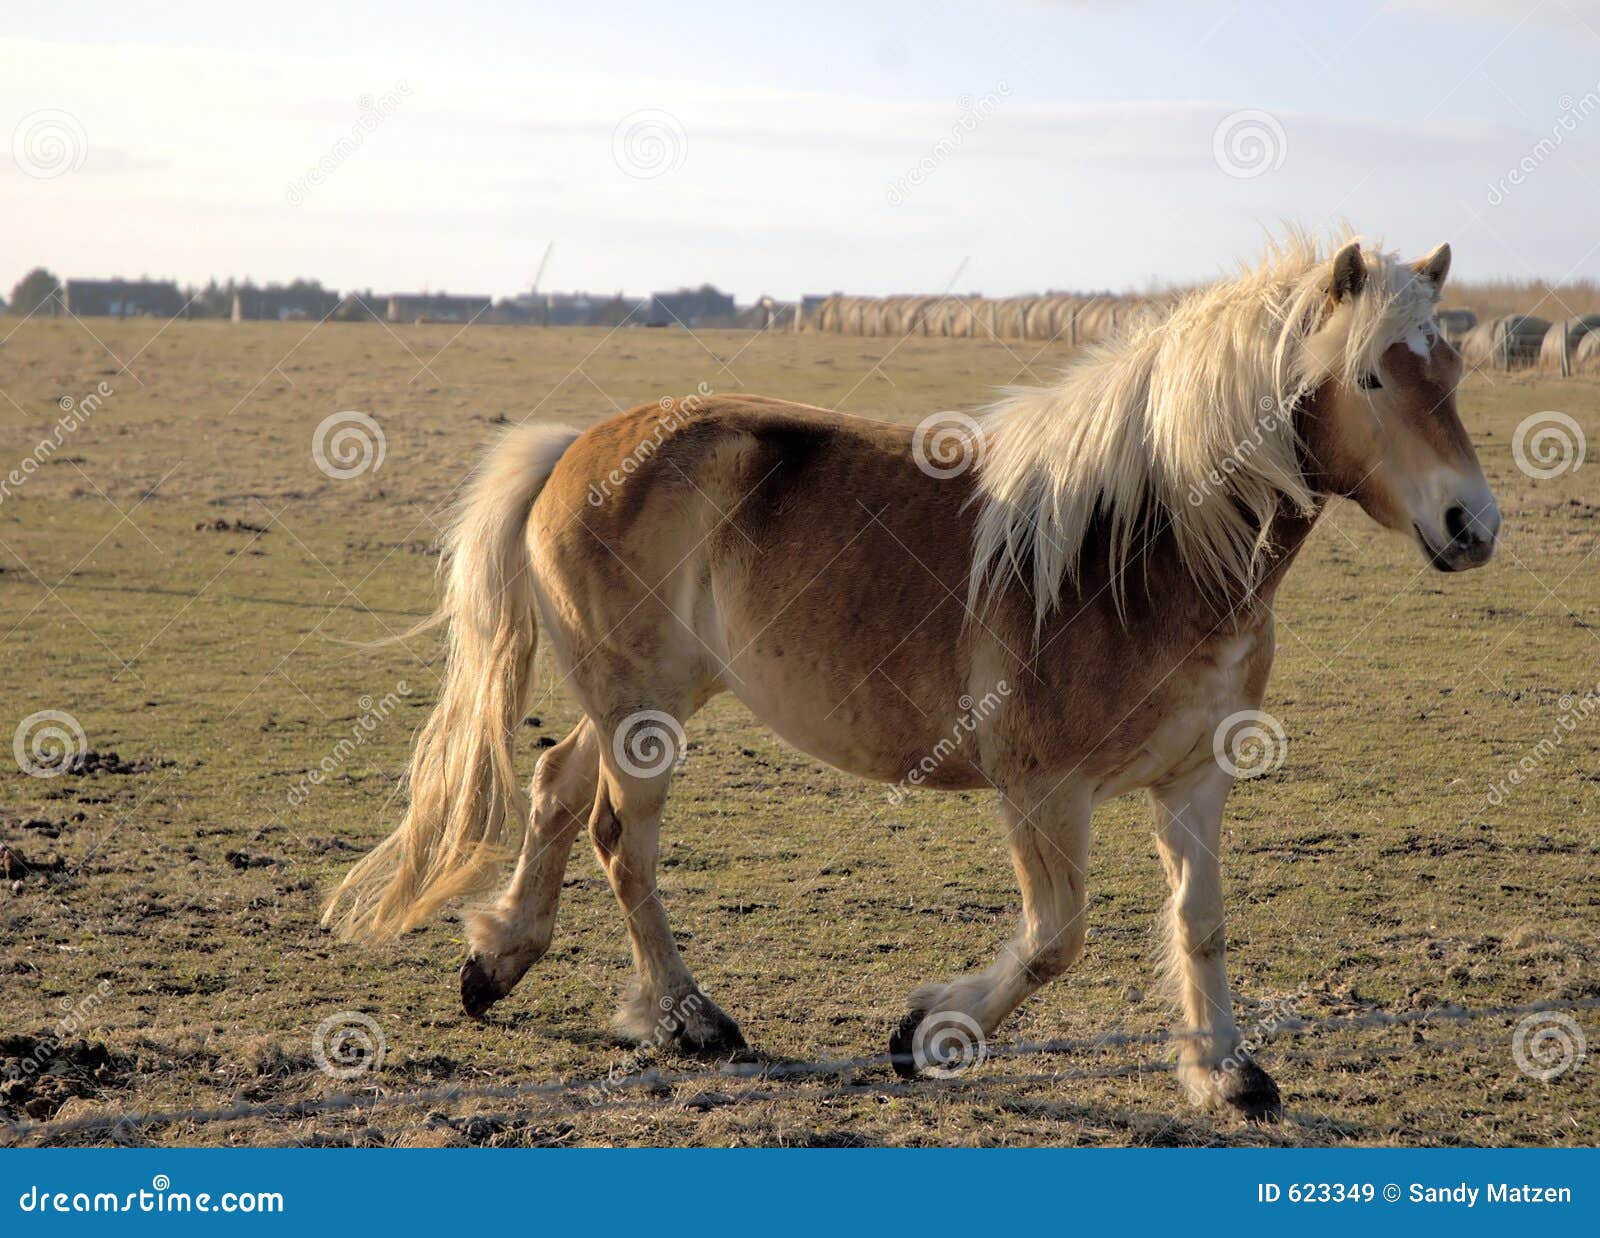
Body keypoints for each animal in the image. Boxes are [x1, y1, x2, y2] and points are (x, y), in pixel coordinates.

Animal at [325, 235, 1500, 1119]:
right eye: (1372, 375)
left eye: (1451, 373)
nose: (1471, 524)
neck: (1144, 547)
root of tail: (581, 444)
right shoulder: (1042, 790)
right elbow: (1056, 936)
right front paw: (929, 1032)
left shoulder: (1194, 781)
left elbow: (1198, 922)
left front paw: (1225, 1071)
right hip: (644, 710)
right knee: (621, 835)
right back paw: (689, 1017)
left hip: (648, 698)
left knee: (557, 789)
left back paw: (499, 959)